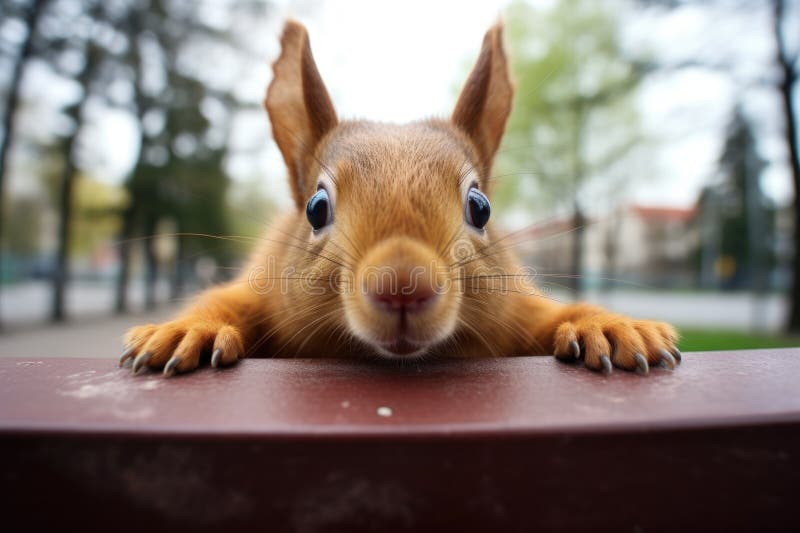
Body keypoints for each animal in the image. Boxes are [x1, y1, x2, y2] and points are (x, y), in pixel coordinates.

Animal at [120, 20, 680, 377]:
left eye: (480, 207)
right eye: (315, 209)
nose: (403, 287)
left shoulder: (512, 309)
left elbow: (548, 315)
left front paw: (612, 327)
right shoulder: (263, 287)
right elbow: (226, 300)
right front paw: (186, 332)